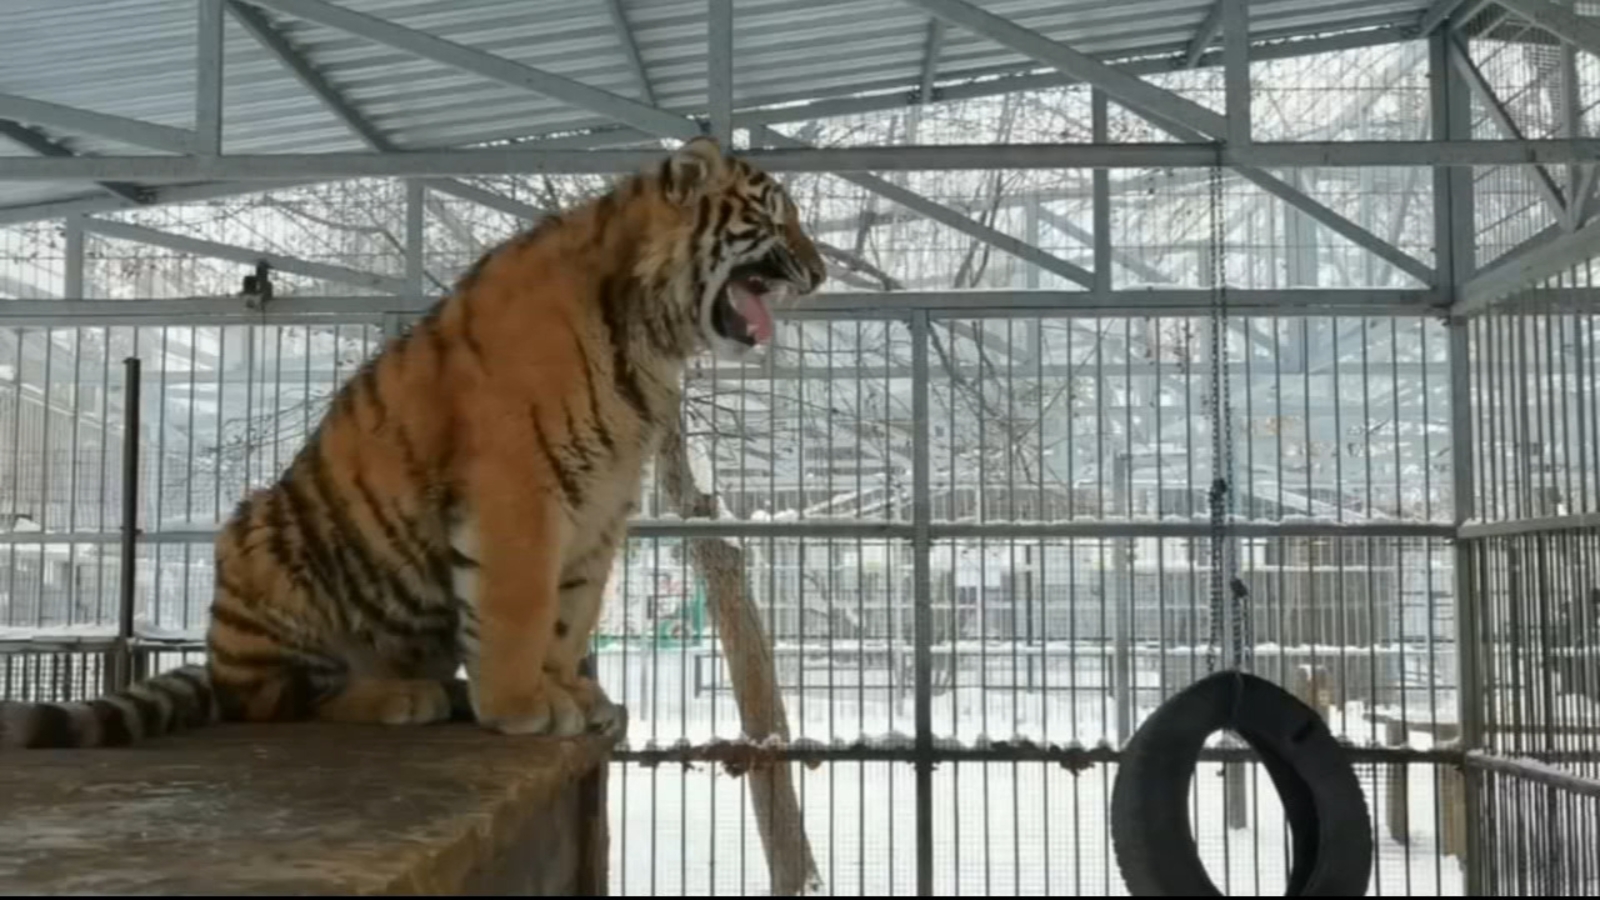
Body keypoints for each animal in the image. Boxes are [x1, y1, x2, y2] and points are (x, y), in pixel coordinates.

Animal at [0, 135, 826, 749]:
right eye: (773, 216)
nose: (818, 272)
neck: (651, 334)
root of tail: (216, 658)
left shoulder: (603, 501)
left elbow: (572, 612)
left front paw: (572, 690)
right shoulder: (520, 486)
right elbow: (522, 606)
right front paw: (523, 704)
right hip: (261, 544)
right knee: (277, 699)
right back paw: (403, 697)